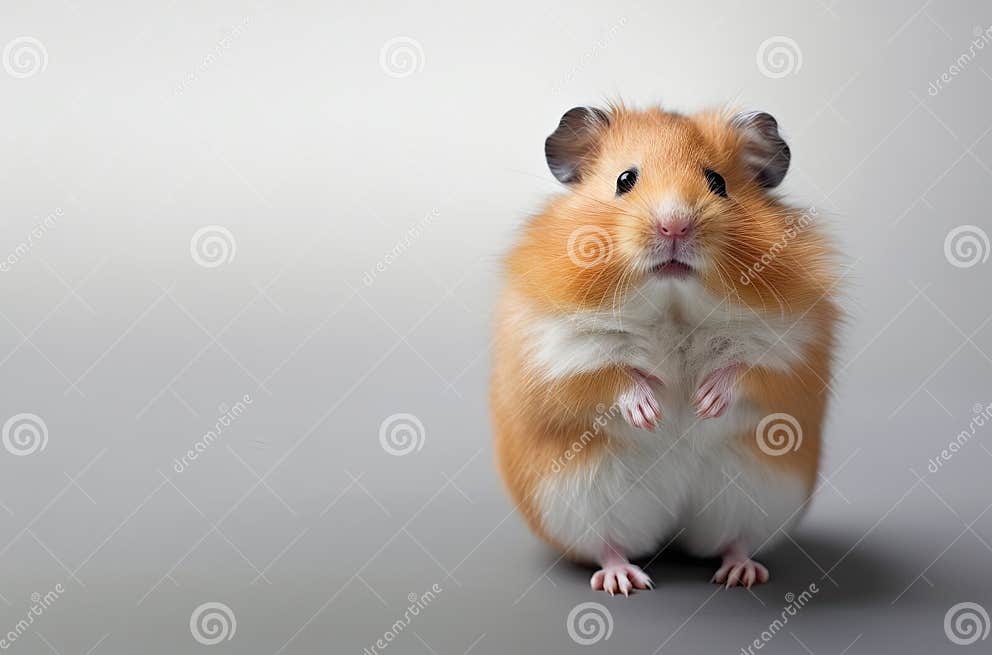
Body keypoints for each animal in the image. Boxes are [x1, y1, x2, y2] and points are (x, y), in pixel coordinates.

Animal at [490, 103, 839, 595]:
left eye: (717, 182)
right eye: (624, 180)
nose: (675, 224)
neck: (674, 307)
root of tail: (672, 531)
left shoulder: (794, 344)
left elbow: (747, 366)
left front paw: (705, 403)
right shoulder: (554, 347)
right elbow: (609, 372)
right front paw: (651, 411)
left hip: (759, 495)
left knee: (733, 540)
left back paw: (741, 575)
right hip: (574, 501)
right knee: (607, 544)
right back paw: (624, 581)